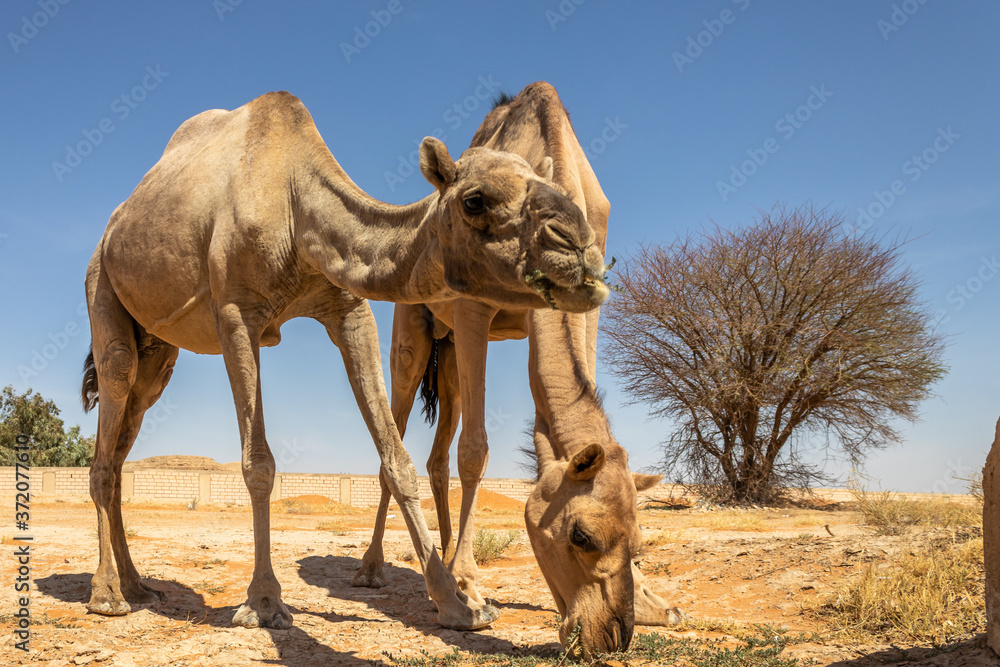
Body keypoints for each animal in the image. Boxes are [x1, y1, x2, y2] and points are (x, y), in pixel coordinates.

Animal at [79, 91, 610, 632]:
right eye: (474, 200)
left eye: (555, 188)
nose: (580, 247)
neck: (296, 207)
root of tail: (113, 224)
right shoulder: (235, 314)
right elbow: (259, 463)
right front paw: (264, 601)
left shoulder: (349, 310)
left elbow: (397, 458)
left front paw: (459, 604)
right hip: (101, 285)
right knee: (111, 408)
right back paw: (107, 594)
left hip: (158, 350)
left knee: (126, 435)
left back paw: (138, 585)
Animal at [353, 83, 682, 656]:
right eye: (580, 535)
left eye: (639, 543)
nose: (610, 636)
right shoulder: (473, 306)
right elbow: (476, 451)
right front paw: (468, 587)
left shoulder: (585, 305)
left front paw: (657, 603)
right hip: (413, 330)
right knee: (398, 429)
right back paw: (382, 569)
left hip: (450, 359)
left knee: (437, 452)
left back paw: (444, 564)